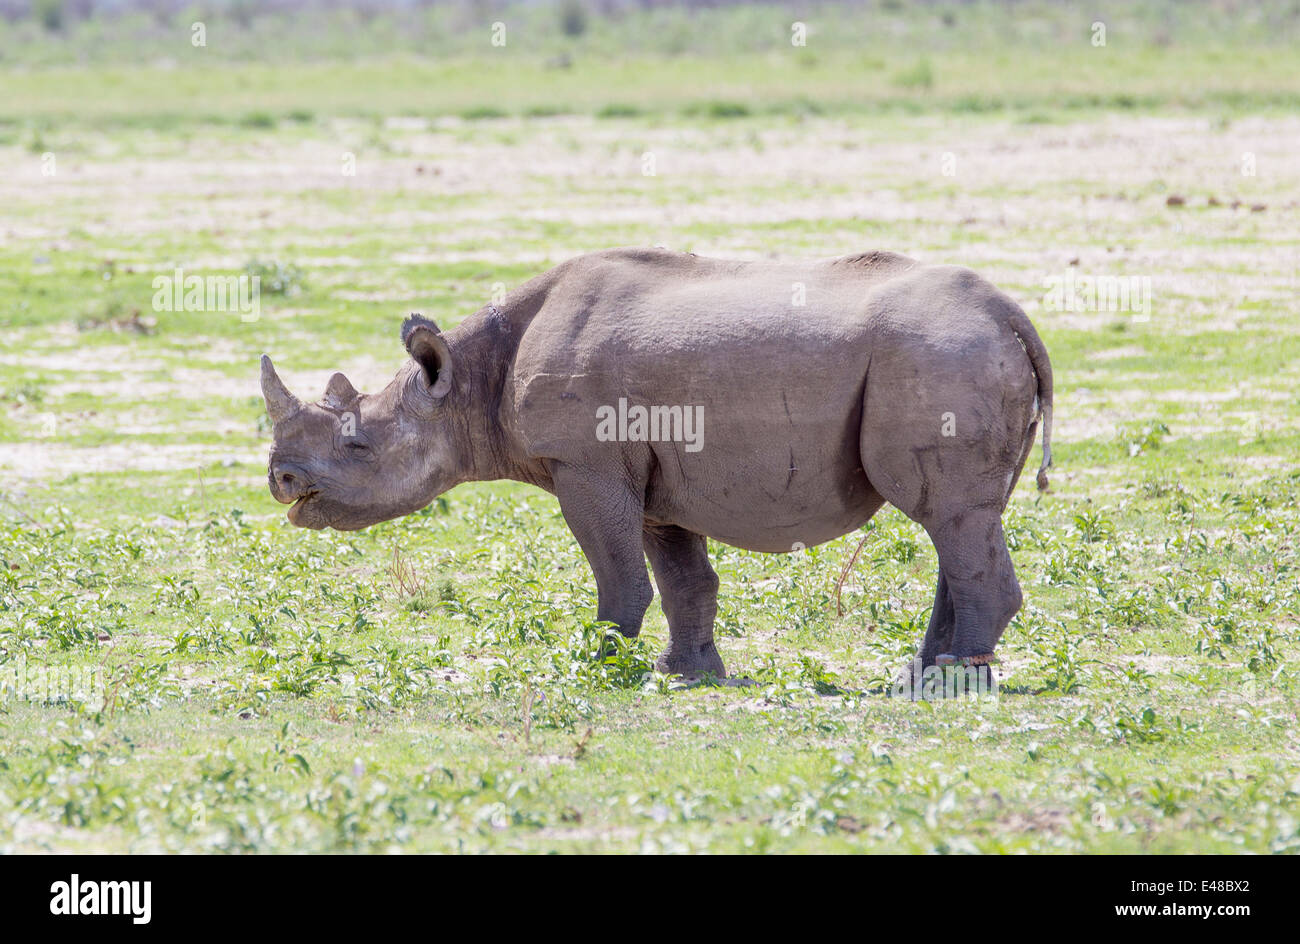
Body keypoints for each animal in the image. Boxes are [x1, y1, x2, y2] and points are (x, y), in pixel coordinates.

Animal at [261, 248, 1053, 683]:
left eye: (358, 445)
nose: (281, 481)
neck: (466, 382)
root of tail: (1012, 313)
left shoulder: (586, 464)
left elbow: (617, 570)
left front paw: (599, 661)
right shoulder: (657, 477)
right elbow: (683, 578)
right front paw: (688, 673)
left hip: (940, 356)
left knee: (950, 514)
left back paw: (954, 679)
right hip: (952, 354)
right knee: (962, 518)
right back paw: (920, 674)